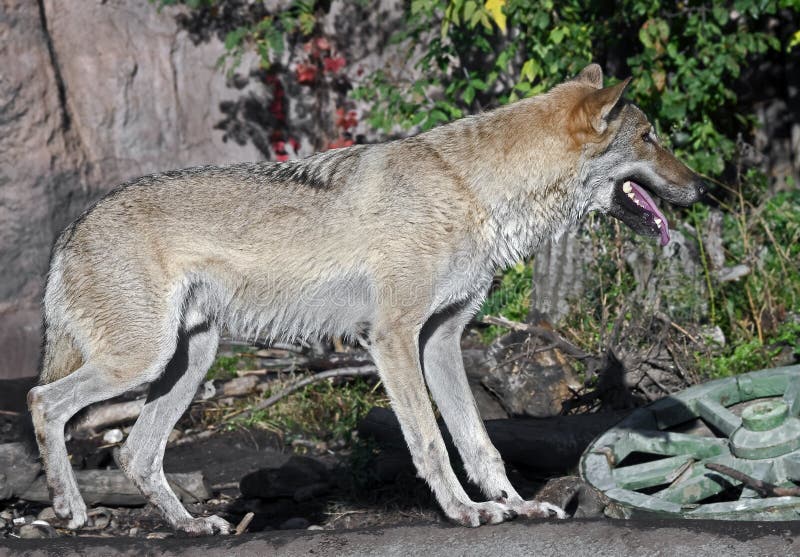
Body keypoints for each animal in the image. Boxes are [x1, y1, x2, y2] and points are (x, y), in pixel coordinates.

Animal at [28, 64, 705, 534]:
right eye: (651, 137)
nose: (702, 187)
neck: (474, 190)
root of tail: (69, 229)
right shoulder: (393, 338)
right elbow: (431, 441)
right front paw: (464, 513)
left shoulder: (442, 341)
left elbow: (479, 444)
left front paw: (517, 506)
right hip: (140, 362)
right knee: (45, 402)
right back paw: (70, 509)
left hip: (186, 365)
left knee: (135, 454)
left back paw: (191, 525)